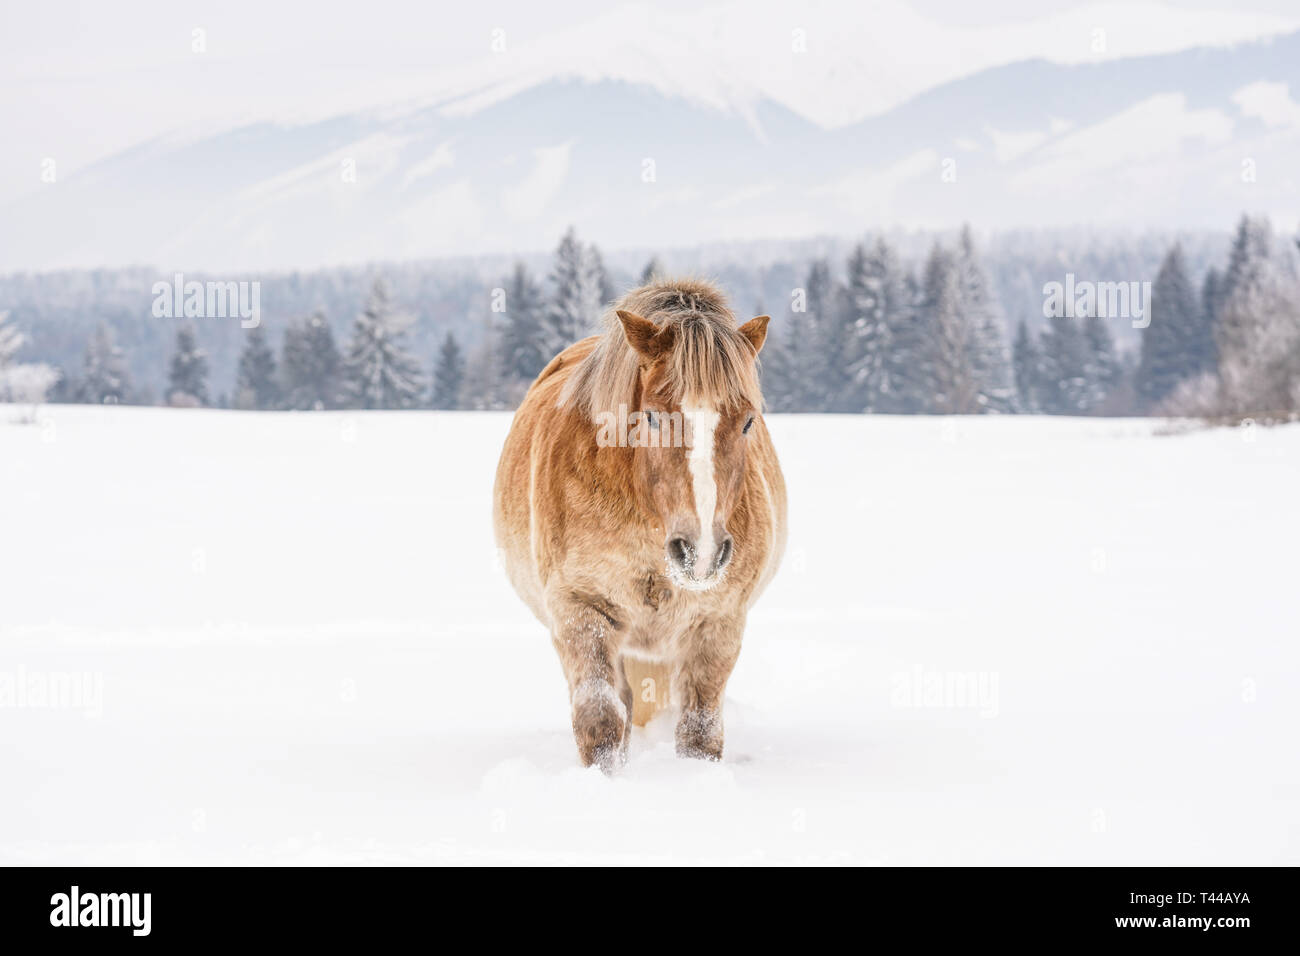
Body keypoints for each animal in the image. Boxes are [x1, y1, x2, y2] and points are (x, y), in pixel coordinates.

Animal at [492, 277, 787, 770]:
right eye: (650, 417)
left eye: (748, 422)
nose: (702, 552)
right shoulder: (580, 610)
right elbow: (601, 719)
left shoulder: (719, 621)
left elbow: (700, 732)